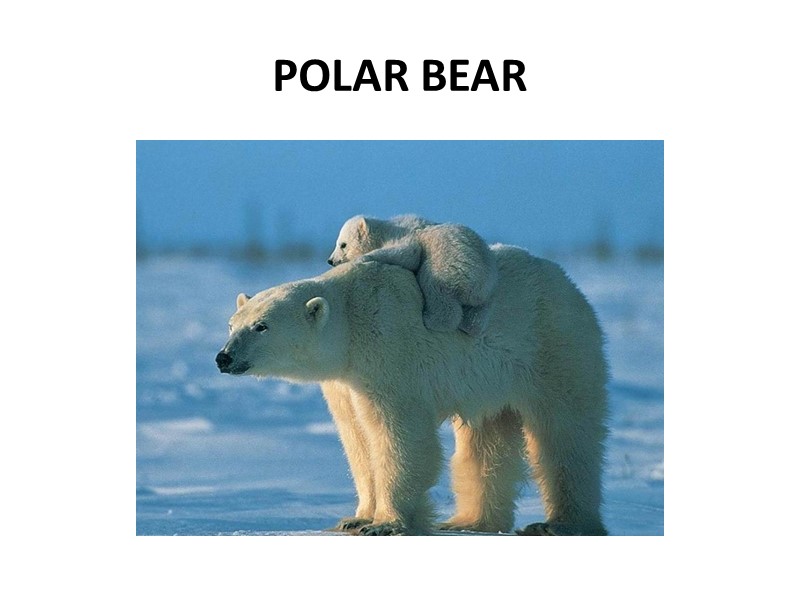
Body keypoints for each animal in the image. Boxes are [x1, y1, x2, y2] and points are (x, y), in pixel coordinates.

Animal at [216, 244, 609, 536]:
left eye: (262, 326)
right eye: (233, 324)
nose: (224, 357)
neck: (351, 320)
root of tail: (569, 284)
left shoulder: (388, 352)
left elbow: (399, 434)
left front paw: (387, 523)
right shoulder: (345, 382)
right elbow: (357, 439)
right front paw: (356, 517)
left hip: (553, 347)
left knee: (565, 433)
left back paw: (561, 523)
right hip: (491, 381)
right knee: (486, 443)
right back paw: (468, 521)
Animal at [327, 214, 498, 336]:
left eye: (343, 244)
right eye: (338, 243)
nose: (330, 260)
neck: (386, 230)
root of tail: (478, 286)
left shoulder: (404, 235)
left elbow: (409, 253)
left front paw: (363, 257)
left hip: (448, 266)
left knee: (434, 287)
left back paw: (430, 319)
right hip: (486, 290)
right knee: (479, 313)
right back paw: (469, 325)